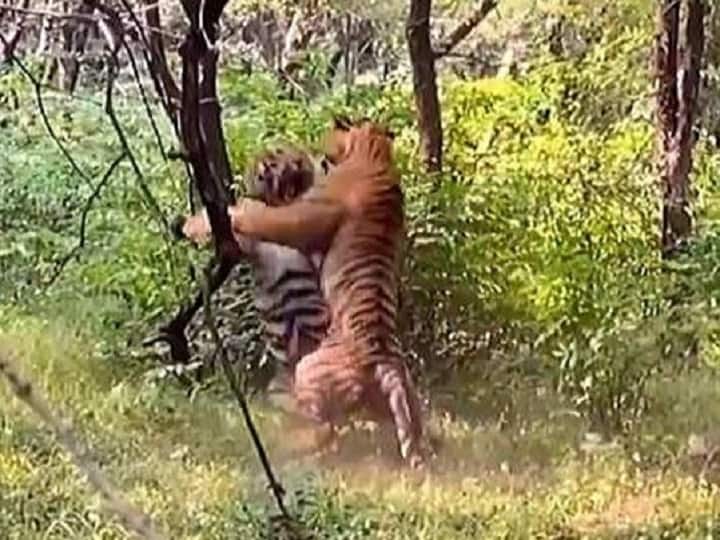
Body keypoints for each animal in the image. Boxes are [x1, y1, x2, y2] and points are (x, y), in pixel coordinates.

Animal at [181, 117, 427, 468]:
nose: (309, 160)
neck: (376, 155)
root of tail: (384, 360)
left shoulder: (298, 216)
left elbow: (253, 216)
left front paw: (199, 221)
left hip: (309, 370)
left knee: (324, 425)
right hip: (404, 392)